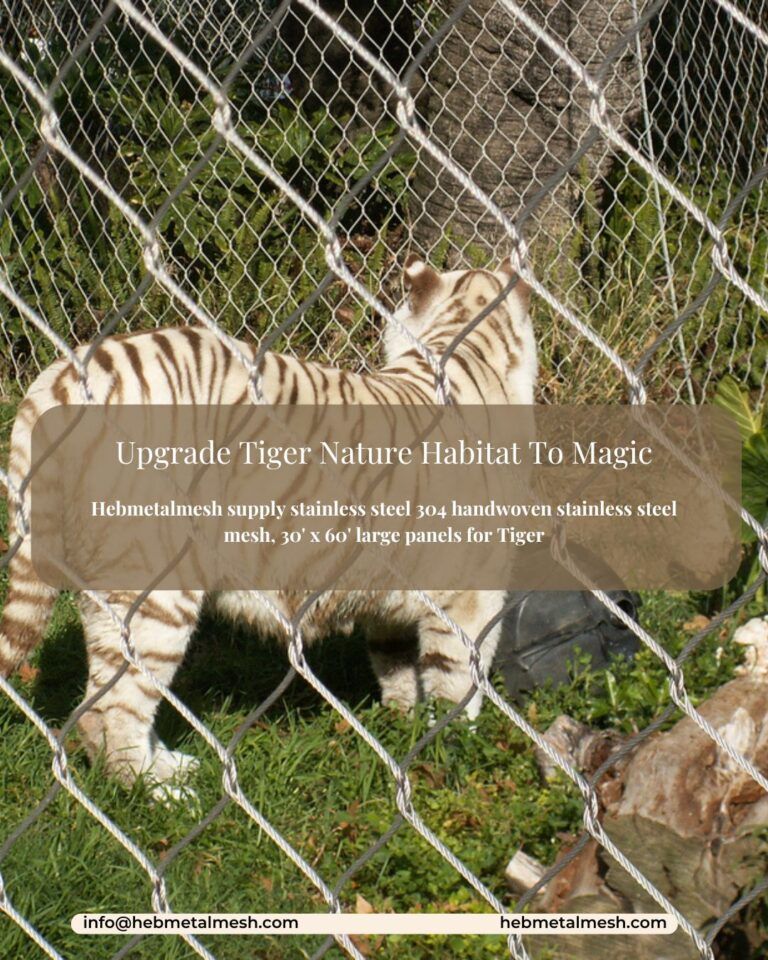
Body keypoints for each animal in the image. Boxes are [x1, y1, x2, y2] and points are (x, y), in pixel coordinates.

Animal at [0, 255, 535, 794]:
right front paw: (451, 753)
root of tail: (62, 378)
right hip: (155, 584)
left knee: (101, 693)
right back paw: (160, 790)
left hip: (106, 591)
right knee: (114, 705)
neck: (466, 348)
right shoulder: (472, 595)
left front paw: (402, 723)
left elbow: (397, 665)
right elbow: (457, 682)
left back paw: (168, 765)